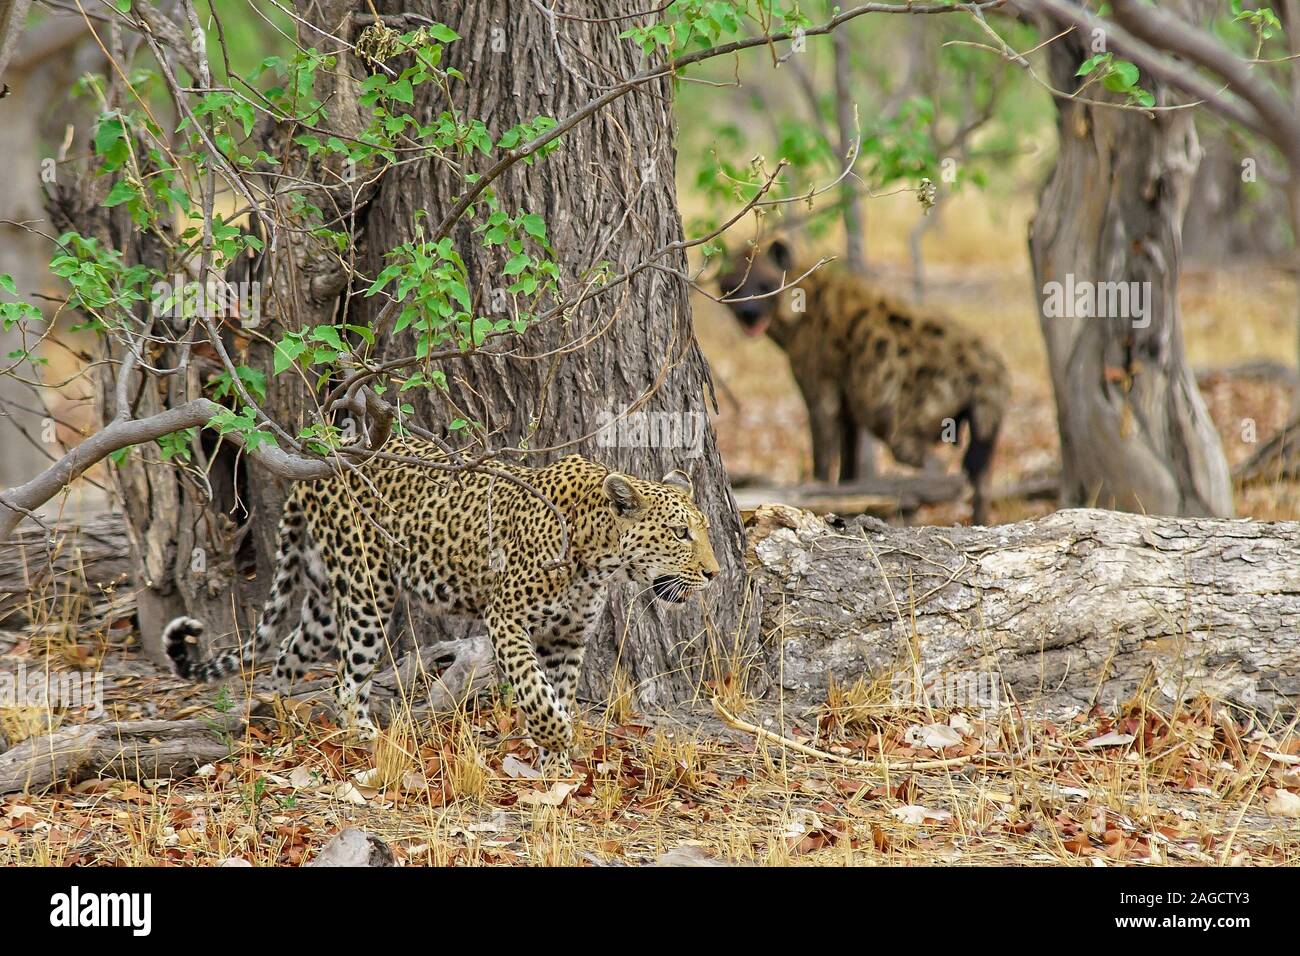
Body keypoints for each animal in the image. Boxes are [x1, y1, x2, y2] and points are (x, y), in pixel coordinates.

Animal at [163, 436, 720, 773]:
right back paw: (367, 739)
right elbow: (535, 692)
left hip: (324, 599)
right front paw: (558, 737)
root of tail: (324, 464)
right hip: (369, 591)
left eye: (704, 530)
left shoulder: (567, 637)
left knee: (286, 655)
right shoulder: (507, 619)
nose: (714, 574)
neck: (599, 557)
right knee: (346, 680)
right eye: (680, 533)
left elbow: (558, 691)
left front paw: (556, 760)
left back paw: (282, 724)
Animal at [717, 238, 1010, 524]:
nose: (749, 313)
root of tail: (988, 370)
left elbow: (822, 455)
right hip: (986, 424)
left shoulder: (820, 387)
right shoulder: (848, 404)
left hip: (910, 422)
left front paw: (818, 495)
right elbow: (849, 463)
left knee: (935, 466)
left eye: (765, 285)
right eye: (731, 286)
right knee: (980, 477)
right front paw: (844, 501)